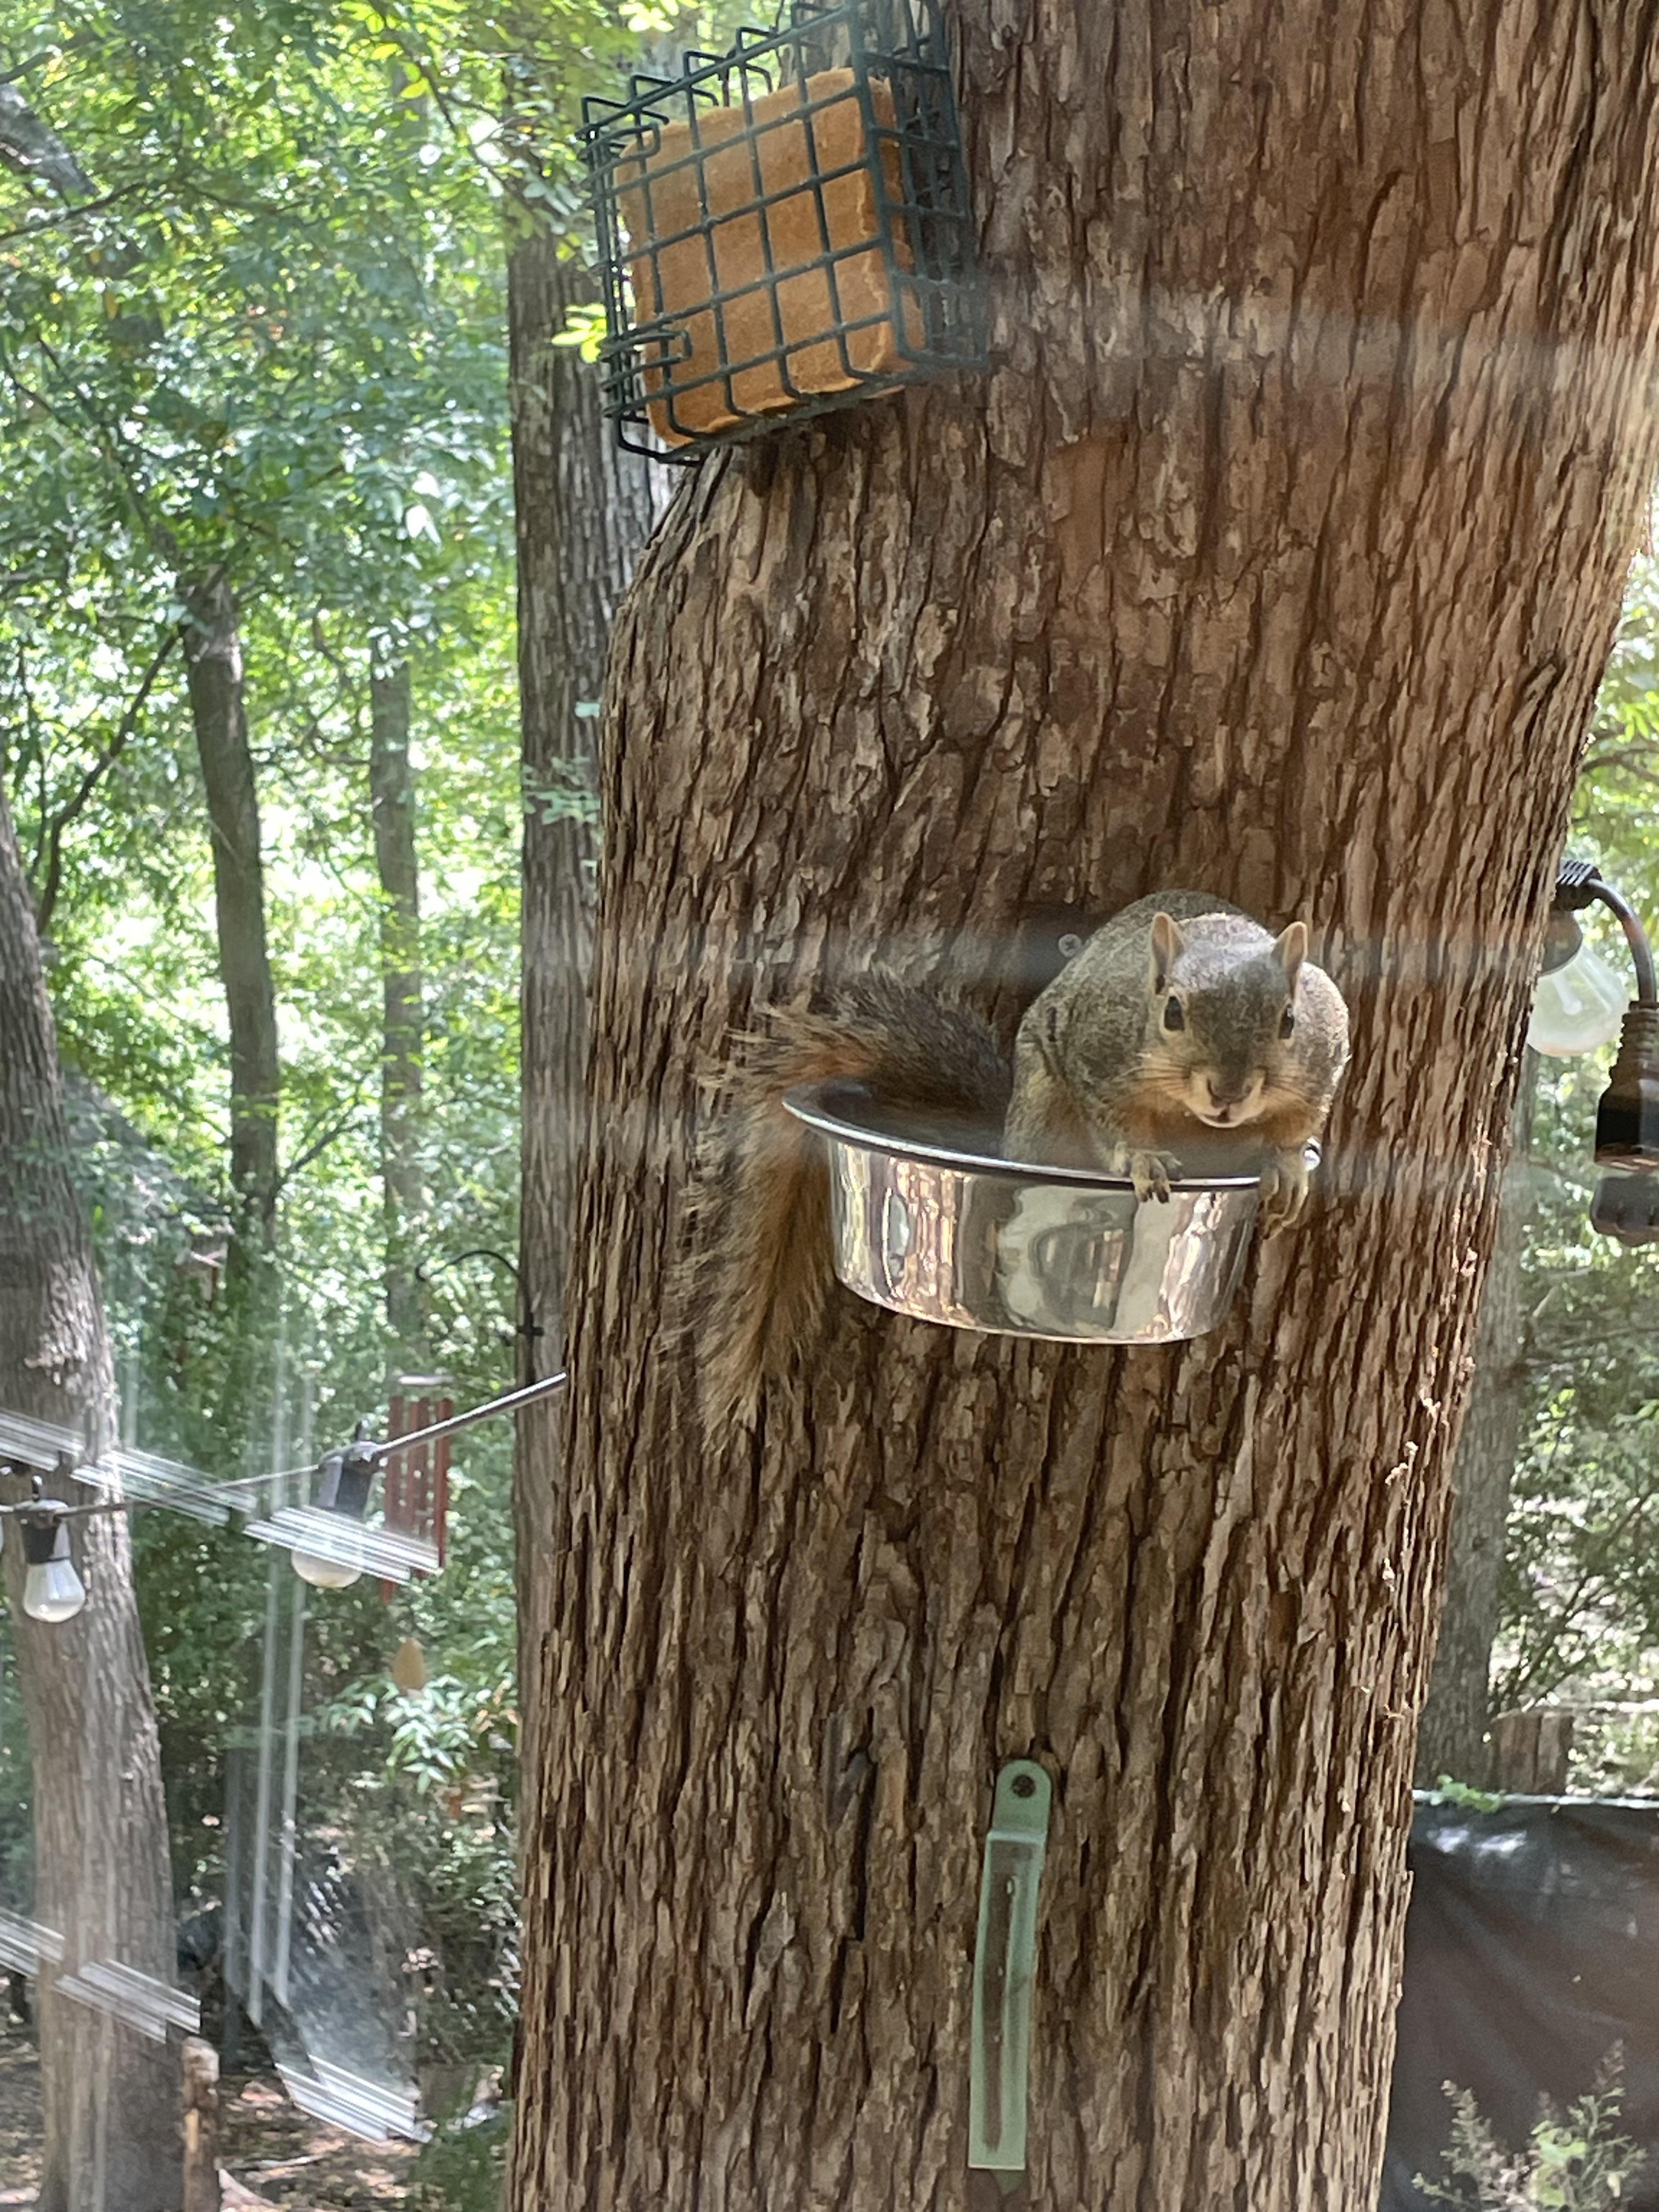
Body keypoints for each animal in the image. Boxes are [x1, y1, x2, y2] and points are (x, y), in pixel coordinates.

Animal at [694, 892, 1350, 1435]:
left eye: (1289, 1020)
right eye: (1172, 1013)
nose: (1228, 1093)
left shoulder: (1325, 1056)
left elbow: (1301, 1122)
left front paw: (1289, 1167)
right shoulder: (1098, 1051)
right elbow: (1113, 1117)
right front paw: (1142, 1159)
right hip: (1041, 1107)